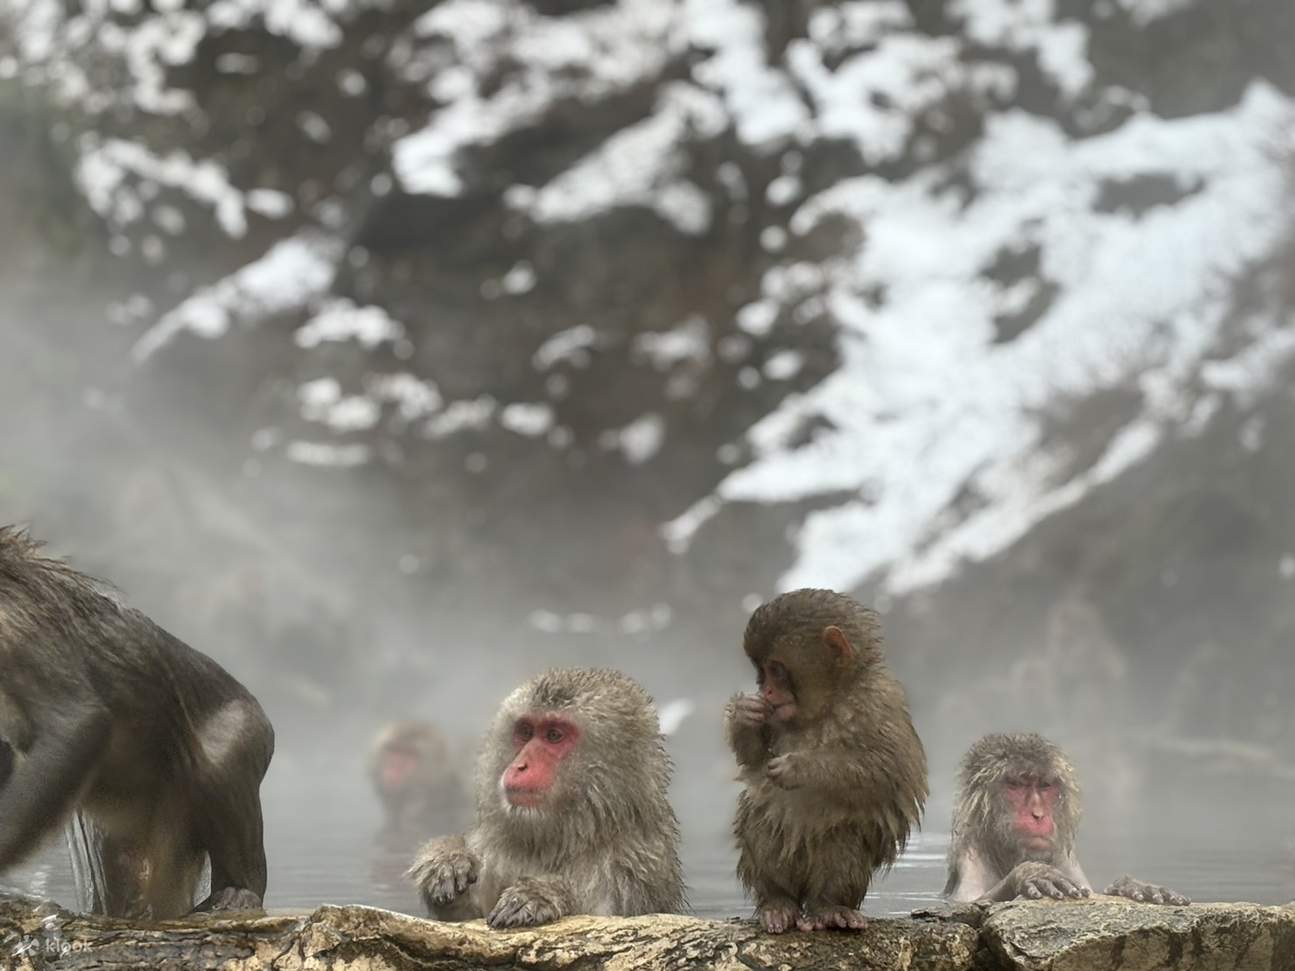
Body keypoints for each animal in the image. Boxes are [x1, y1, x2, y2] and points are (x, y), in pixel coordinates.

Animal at [408, 668, 686, 928]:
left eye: (554, 735)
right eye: (526, 731)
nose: (520, 765)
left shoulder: (632, 869)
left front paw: (541, 895)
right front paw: (447, 859)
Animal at [726, 588, 929, 934]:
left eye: (777, 670)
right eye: (762, 672)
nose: (766, 691)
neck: (827, 704)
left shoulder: (879, 703)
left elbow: (886, 771)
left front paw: (799, 768)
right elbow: (754, 761)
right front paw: (745, 714)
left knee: (844, 837)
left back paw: (829, 907)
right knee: (762, 818)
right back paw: (778, 903)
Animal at [944, 733, 1190, 905]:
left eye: (1045, 786)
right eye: (1016, 785)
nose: (1038, 814)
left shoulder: (1065, 859)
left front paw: (1133, 886)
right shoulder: (973, 864)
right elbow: (970, 903)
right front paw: (1030, 874)